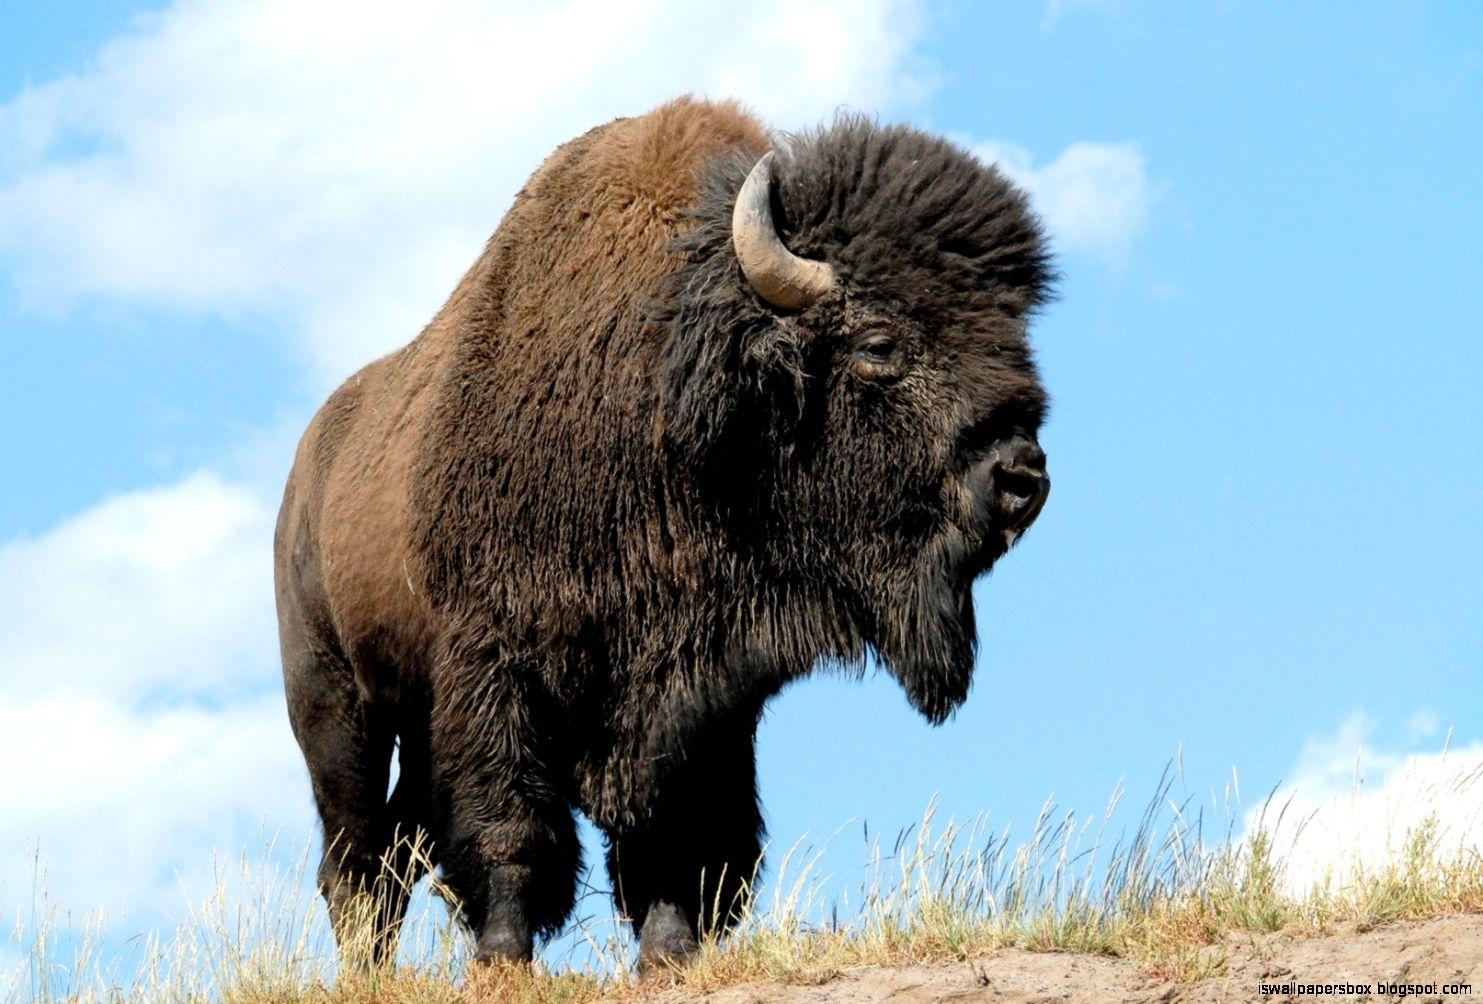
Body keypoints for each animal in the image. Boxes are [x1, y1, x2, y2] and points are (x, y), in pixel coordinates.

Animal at [274, 97, 1053, 969]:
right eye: (880, 343)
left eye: (1012, 333)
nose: (1021, 476)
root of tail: (307, 465)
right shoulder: (495, 660)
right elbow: (511, 821)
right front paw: (505, 955)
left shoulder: (705, 686)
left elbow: (680, 822)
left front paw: (669, 950)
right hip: (334, 703)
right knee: (358, 854)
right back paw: (365, 967)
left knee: (400, 846)